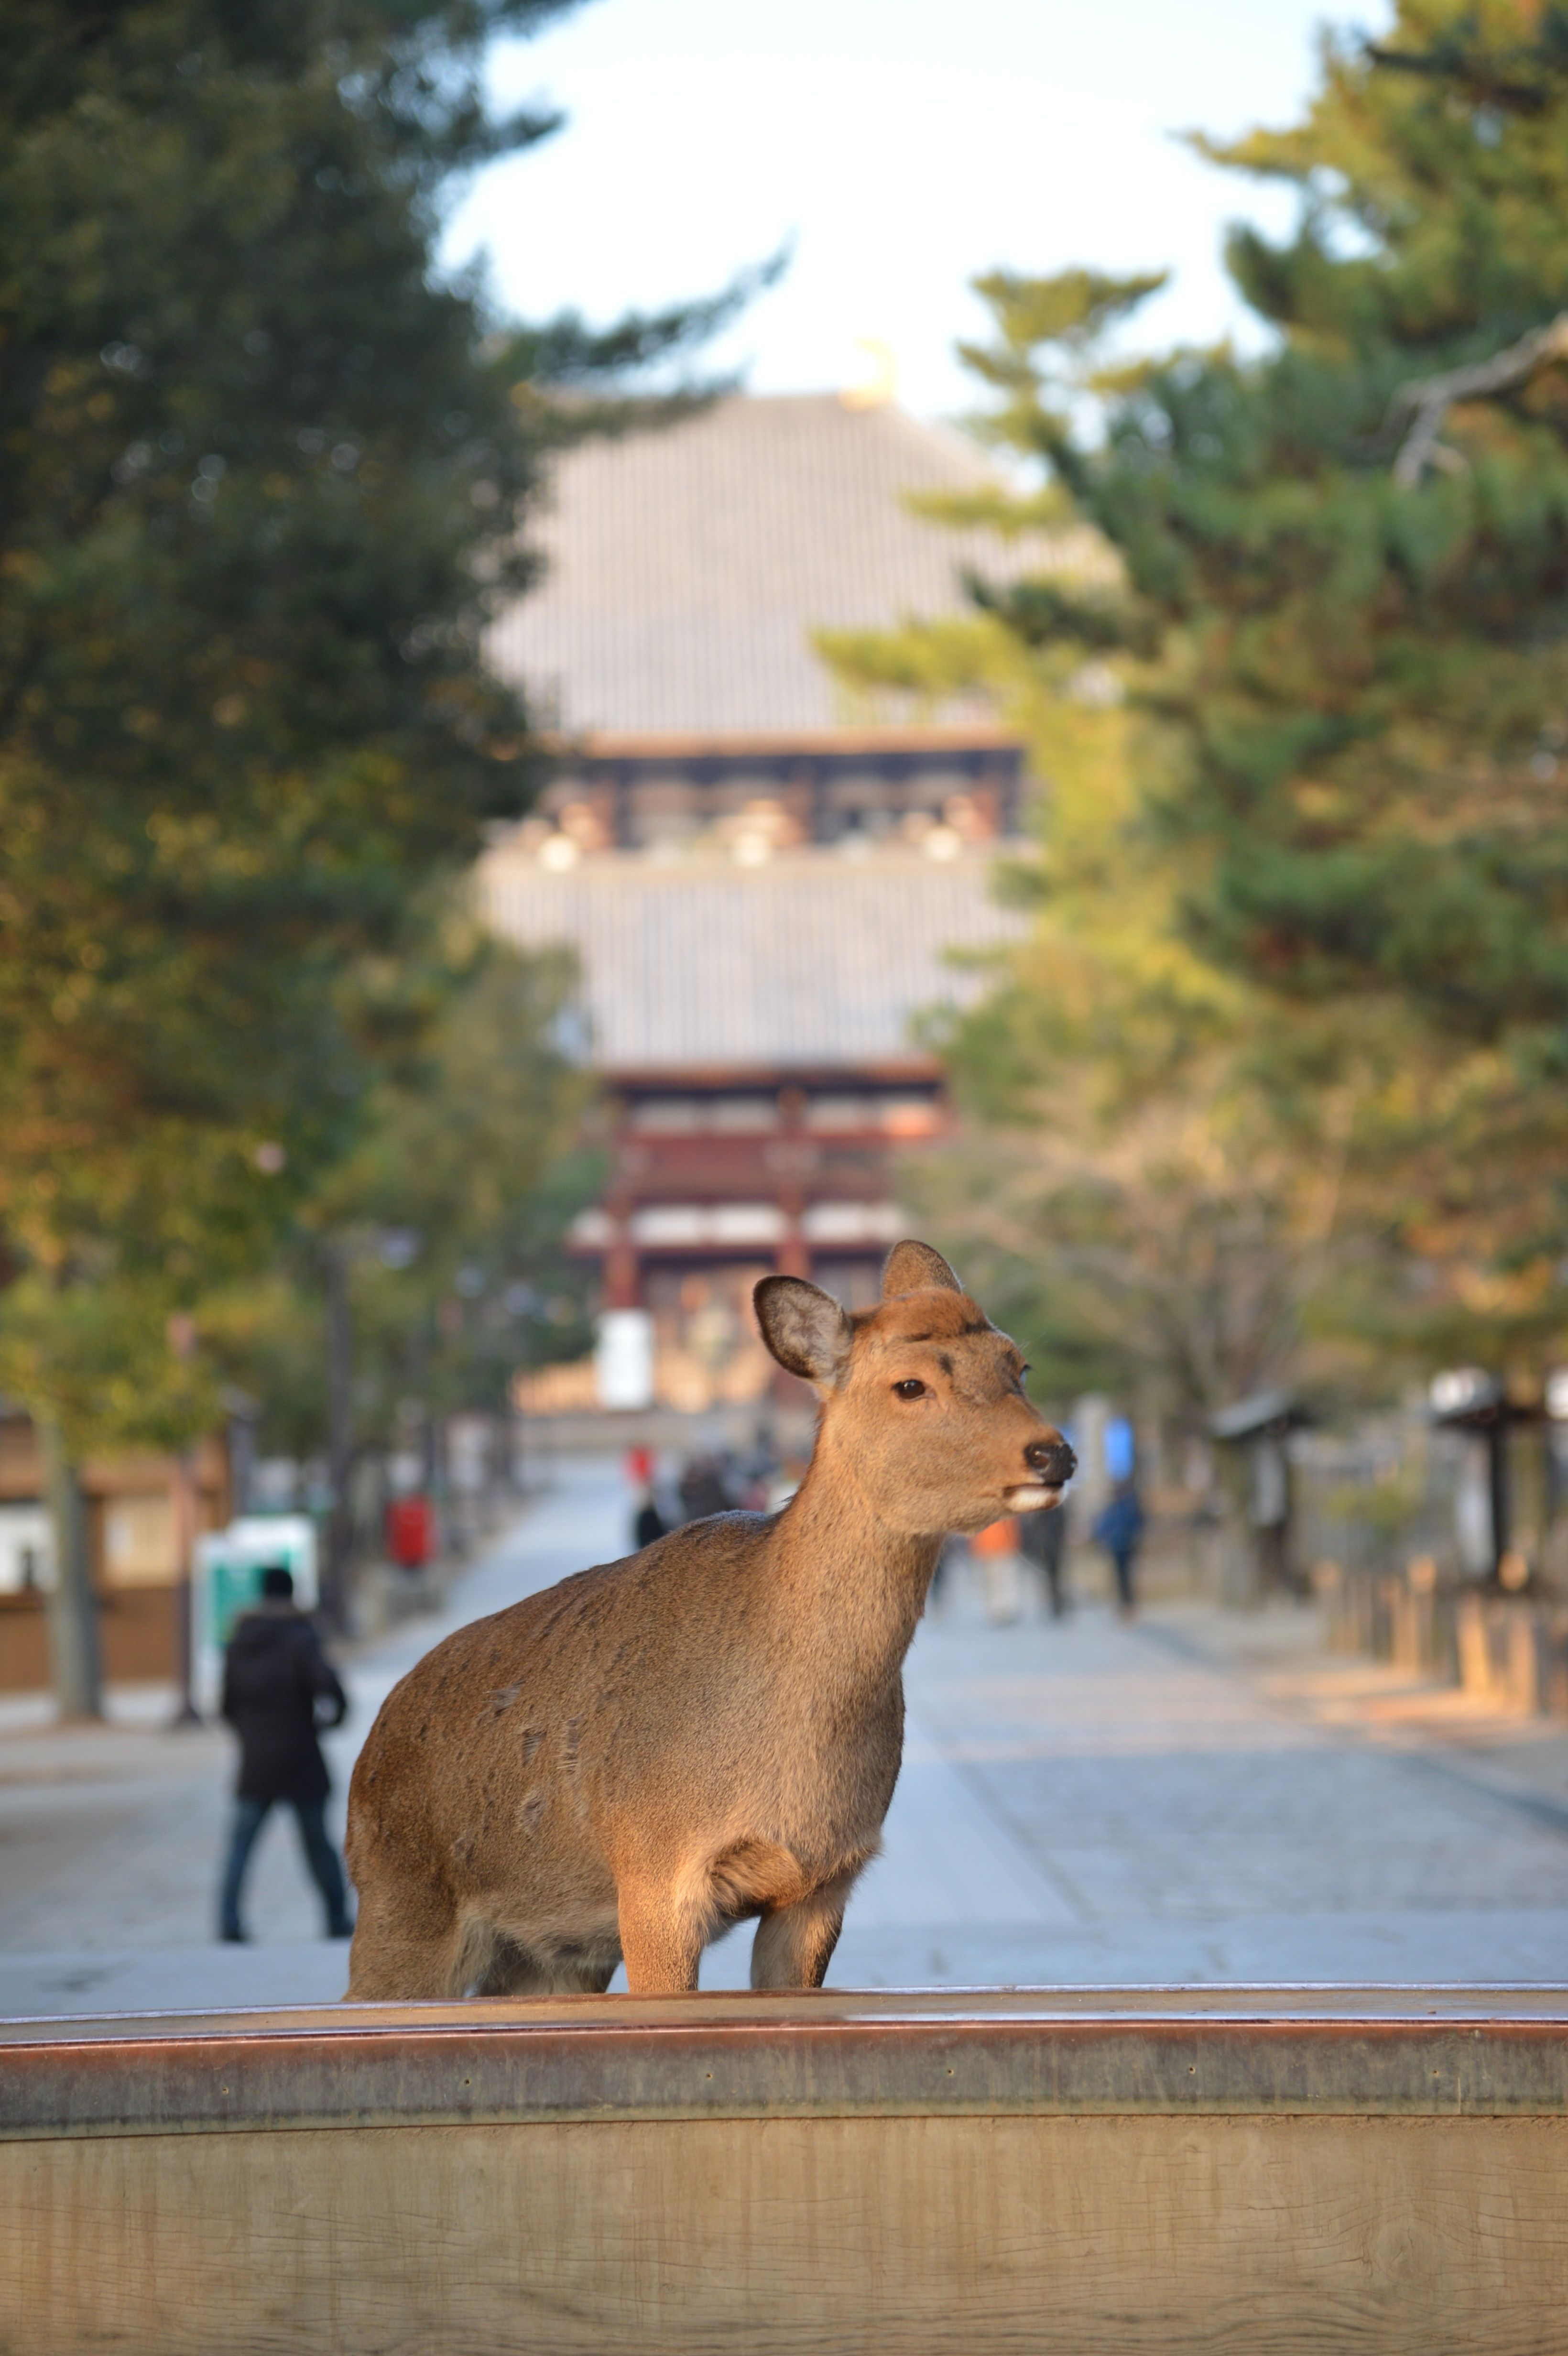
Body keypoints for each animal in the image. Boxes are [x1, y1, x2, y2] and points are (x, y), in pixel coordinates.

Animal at [343, 1241, 1075, 1999]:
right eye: (909, 1385)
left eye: (1018, 1364)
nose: (1053, 1453)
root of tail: (368, 1751)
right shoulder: (652, 1868)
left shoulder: (822, 1885)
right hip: (400, 1906)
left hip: (550, 1953)